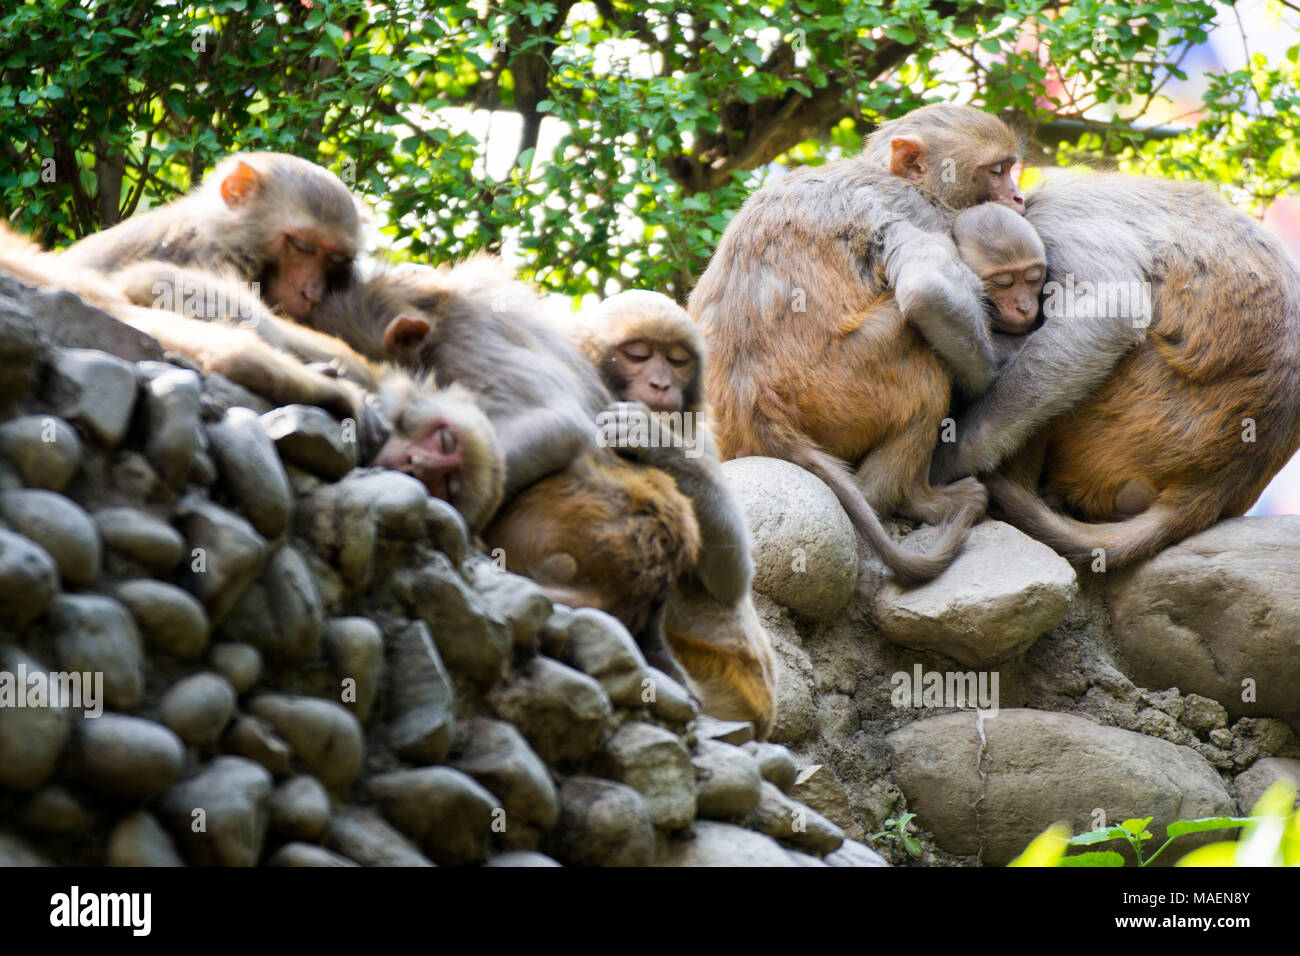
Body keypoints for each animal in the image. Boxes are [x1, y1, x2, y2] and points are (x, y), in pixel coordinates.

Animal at [565, 290, 777, 733]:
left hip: (737, 683)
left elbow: (732, 580)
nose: (661, 383)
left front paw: (654, 440)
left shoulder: (699, 436)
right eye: (639, 354)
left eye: (677, 360)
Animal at [688, 103, 1026, 584]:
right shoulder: (923, 212)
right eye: (997, 171)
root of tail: (757, 413)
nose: (1017, 198)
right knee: (921, 366)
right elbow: (929, 289)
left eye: (1010, 169)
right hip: (838, 389)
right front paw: (983, 380)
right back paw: (909, 499)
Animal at [932, 173, 1300, 568]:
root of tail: (1216, 482)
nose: (1022, 306)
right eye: (1003, 284)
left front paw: (953, 457)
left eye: (1024, 279)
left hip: (1131, 416)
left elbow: (1112, 313)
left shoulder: (1052, 226)